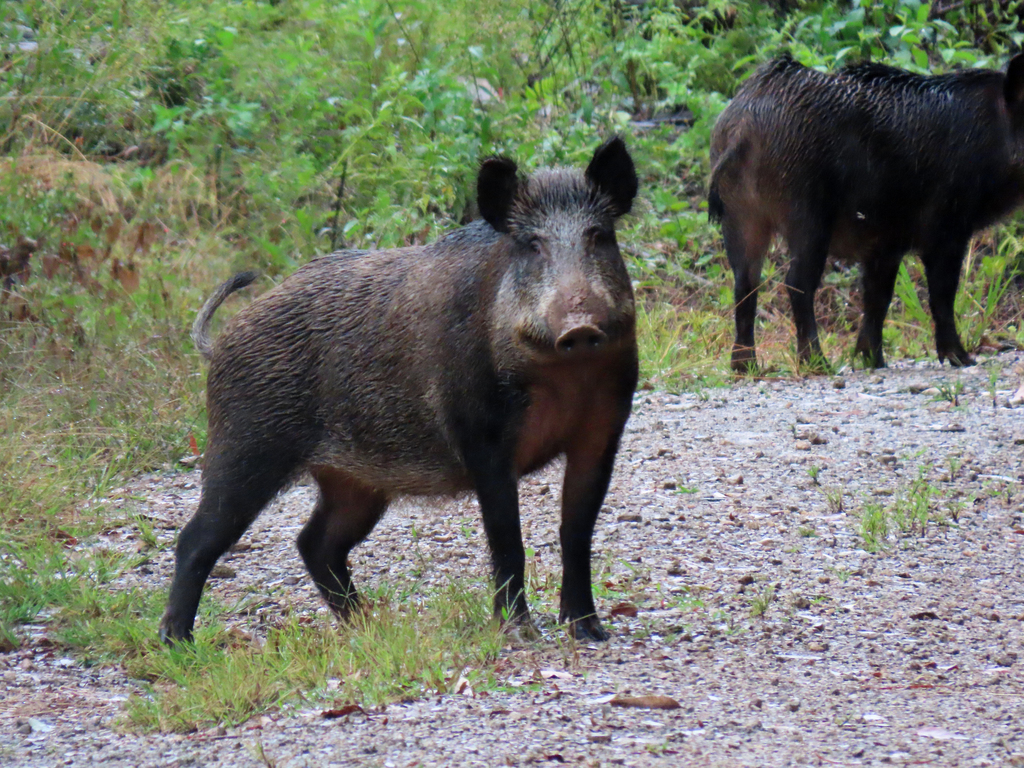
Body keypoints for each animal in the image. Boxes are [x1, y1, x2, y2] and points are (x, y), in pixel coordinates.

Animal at [159, 138, 639, 645]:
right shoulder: (483, 437)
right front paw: (519, 634)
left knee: (314, 541)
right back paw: (179, 644)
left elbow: (577, 532)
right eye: (532, 244)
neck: (565, 377)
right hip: (245, 444)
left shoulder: (603, 431)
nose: (580, 325)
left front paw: (590, 632)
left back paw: (369, 626)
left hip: (354, 483)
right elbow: (508, 539)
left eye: (600, 235)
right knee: (196, 539)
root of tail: (221, 342)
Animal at [709, 53, 1024, 372]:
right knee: (796, 282)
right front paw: (963, 360)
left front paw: (873, 361)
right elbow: (942, 294)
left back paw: (744, 367)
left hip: (740, 216)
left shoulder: (884, 241)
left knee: (744, 283)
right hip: (805, 213)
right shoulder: (947, 227)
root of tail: (742, 127)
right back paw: (818, 363)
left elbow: (878, 296)